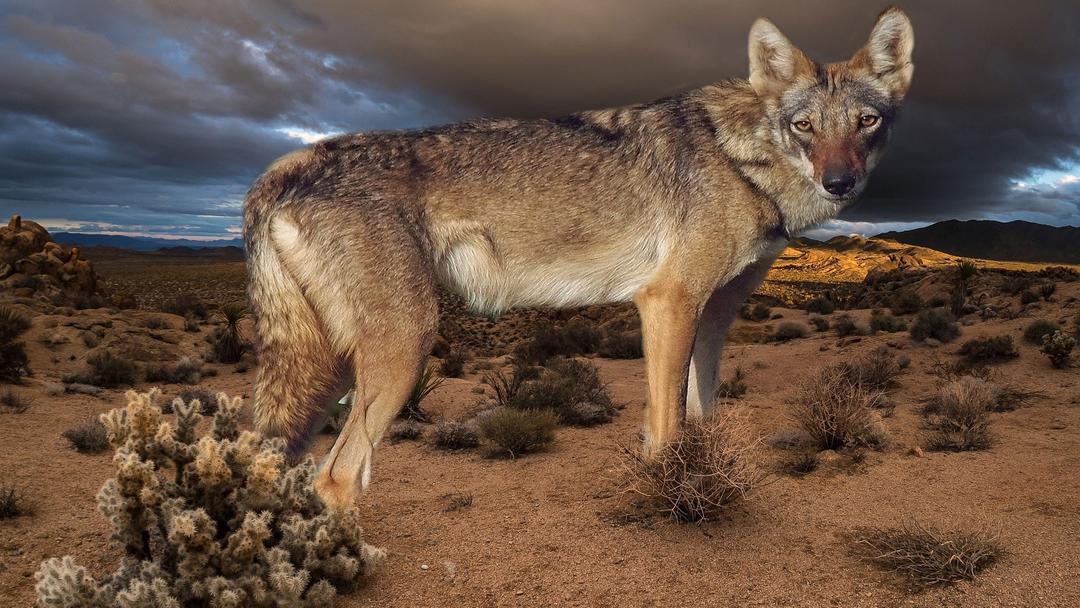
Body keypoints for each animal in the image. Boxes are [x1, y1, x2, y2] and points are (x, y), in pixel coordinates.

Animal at [243, 8, 914, 509]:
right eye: (804, 125)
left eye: (866, 121)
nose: (839, 183)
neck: (742, 157)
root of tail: (286, 166)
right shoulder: (667, 302)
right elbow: (666, 430)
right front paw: (668, 501)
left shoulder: (716, 318)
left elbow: (701, 416)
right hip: (403, 346)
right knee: (335, 479)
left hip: (332, 368)